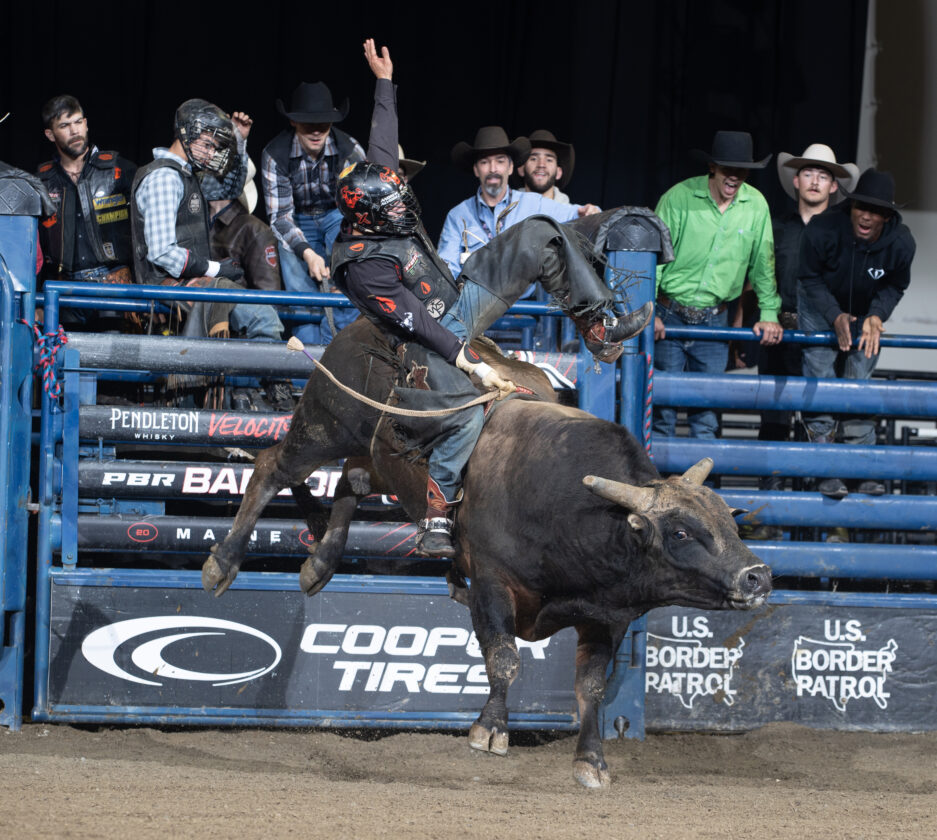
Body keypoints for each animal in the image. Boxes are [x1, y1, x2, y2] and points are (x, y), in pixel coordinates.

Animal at [202, 319, 772, 789]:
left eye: (729, 521)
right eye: (680, 531)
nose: (758, 576)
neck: (580, 512)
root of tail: (363, 327)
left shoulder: (605, 618)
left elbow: (590, 688)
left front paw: (591, 761)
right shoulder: (493, 585)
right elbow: (504, 659)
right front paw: (490, 730)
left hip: (381, 458)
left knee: (352, 481)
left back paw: (319, 564)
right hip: (323, 425)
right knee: (271, 467)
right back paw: (222, 565)